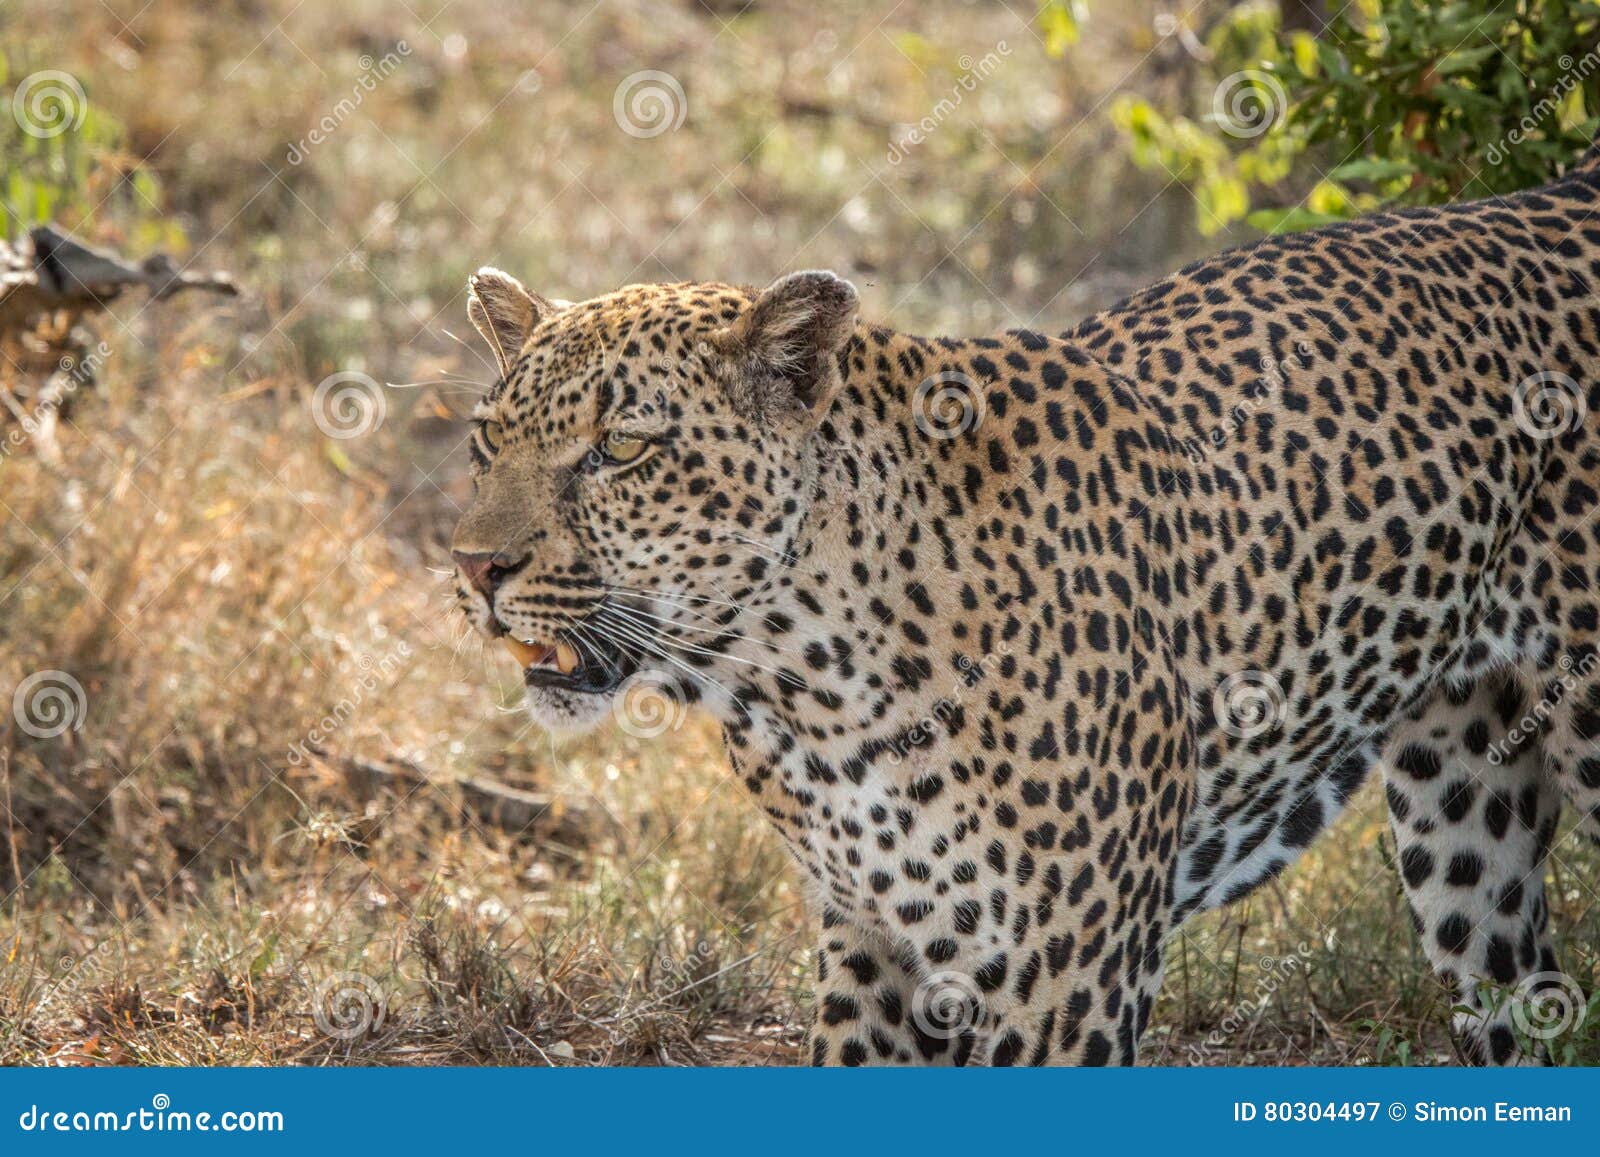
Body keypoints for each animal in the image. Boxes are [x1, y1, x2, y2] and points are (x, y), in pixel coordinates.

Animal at [449, 147, 1600, 1066]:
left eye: (622, 448)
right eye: (486, 441)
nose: (472, 567)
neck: (799, 683)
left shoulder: (1069, 977)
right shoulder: (875, 945)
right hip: (1465, 817)